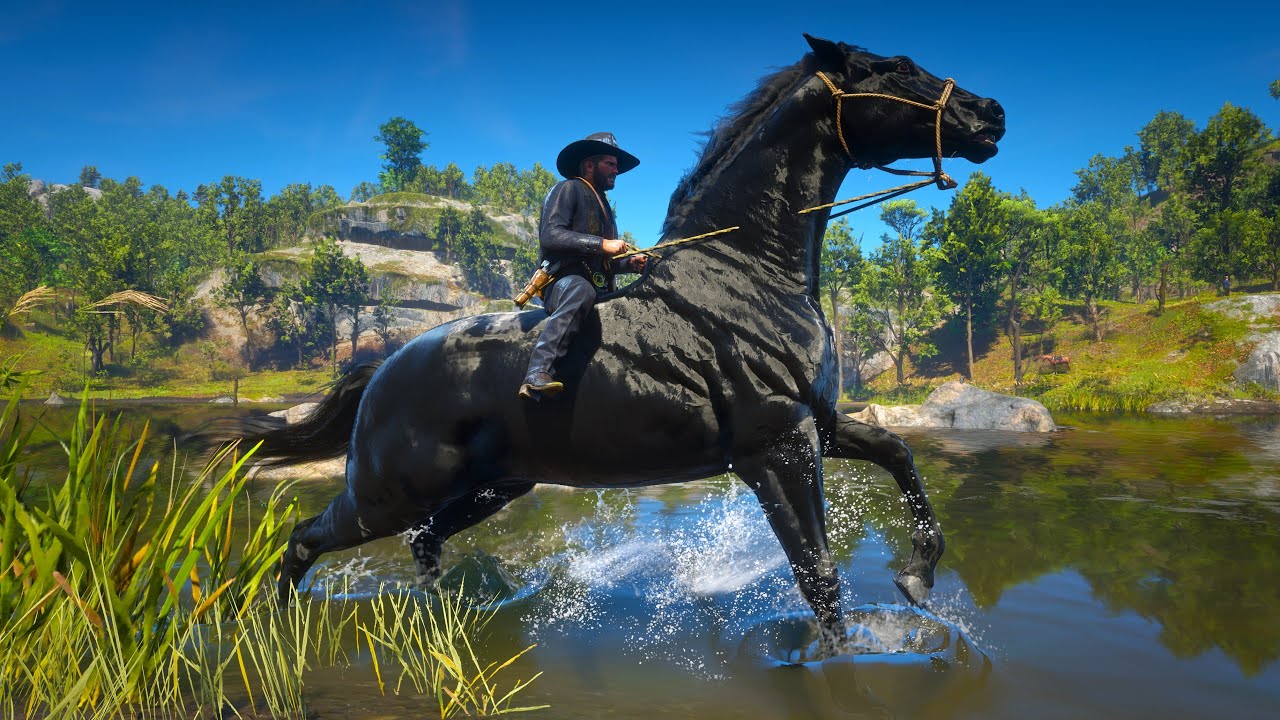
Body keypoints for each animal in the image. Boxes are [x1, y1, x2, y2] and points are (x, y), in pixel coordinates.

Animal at [220, 34, 1004, 653]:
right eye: (893, 68)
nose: (989, 114)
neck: (748, 275)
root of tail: (381, 369)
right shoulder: (776, 451)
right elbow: (818, 578)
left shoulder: (822, 427)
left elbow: (899, 455)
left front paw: (917, 576)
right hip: (389, 493)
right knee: (305, 538)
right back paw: (270, 626)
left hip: (493, 485)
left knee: (423, 541)